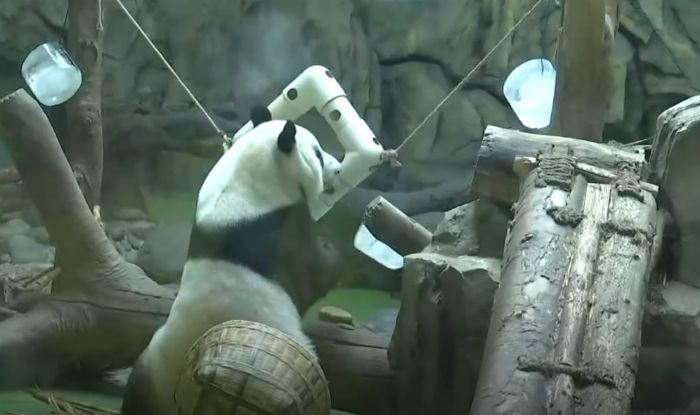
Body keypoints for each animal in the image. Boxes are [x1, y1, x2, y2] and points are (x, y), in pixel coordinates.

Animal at [121, 106, 342, 415]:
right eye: (318, 153)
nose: (338, 169)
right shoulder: (281, 229)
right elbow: (314, 275)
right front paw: (333, 245)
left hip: (152, 362)